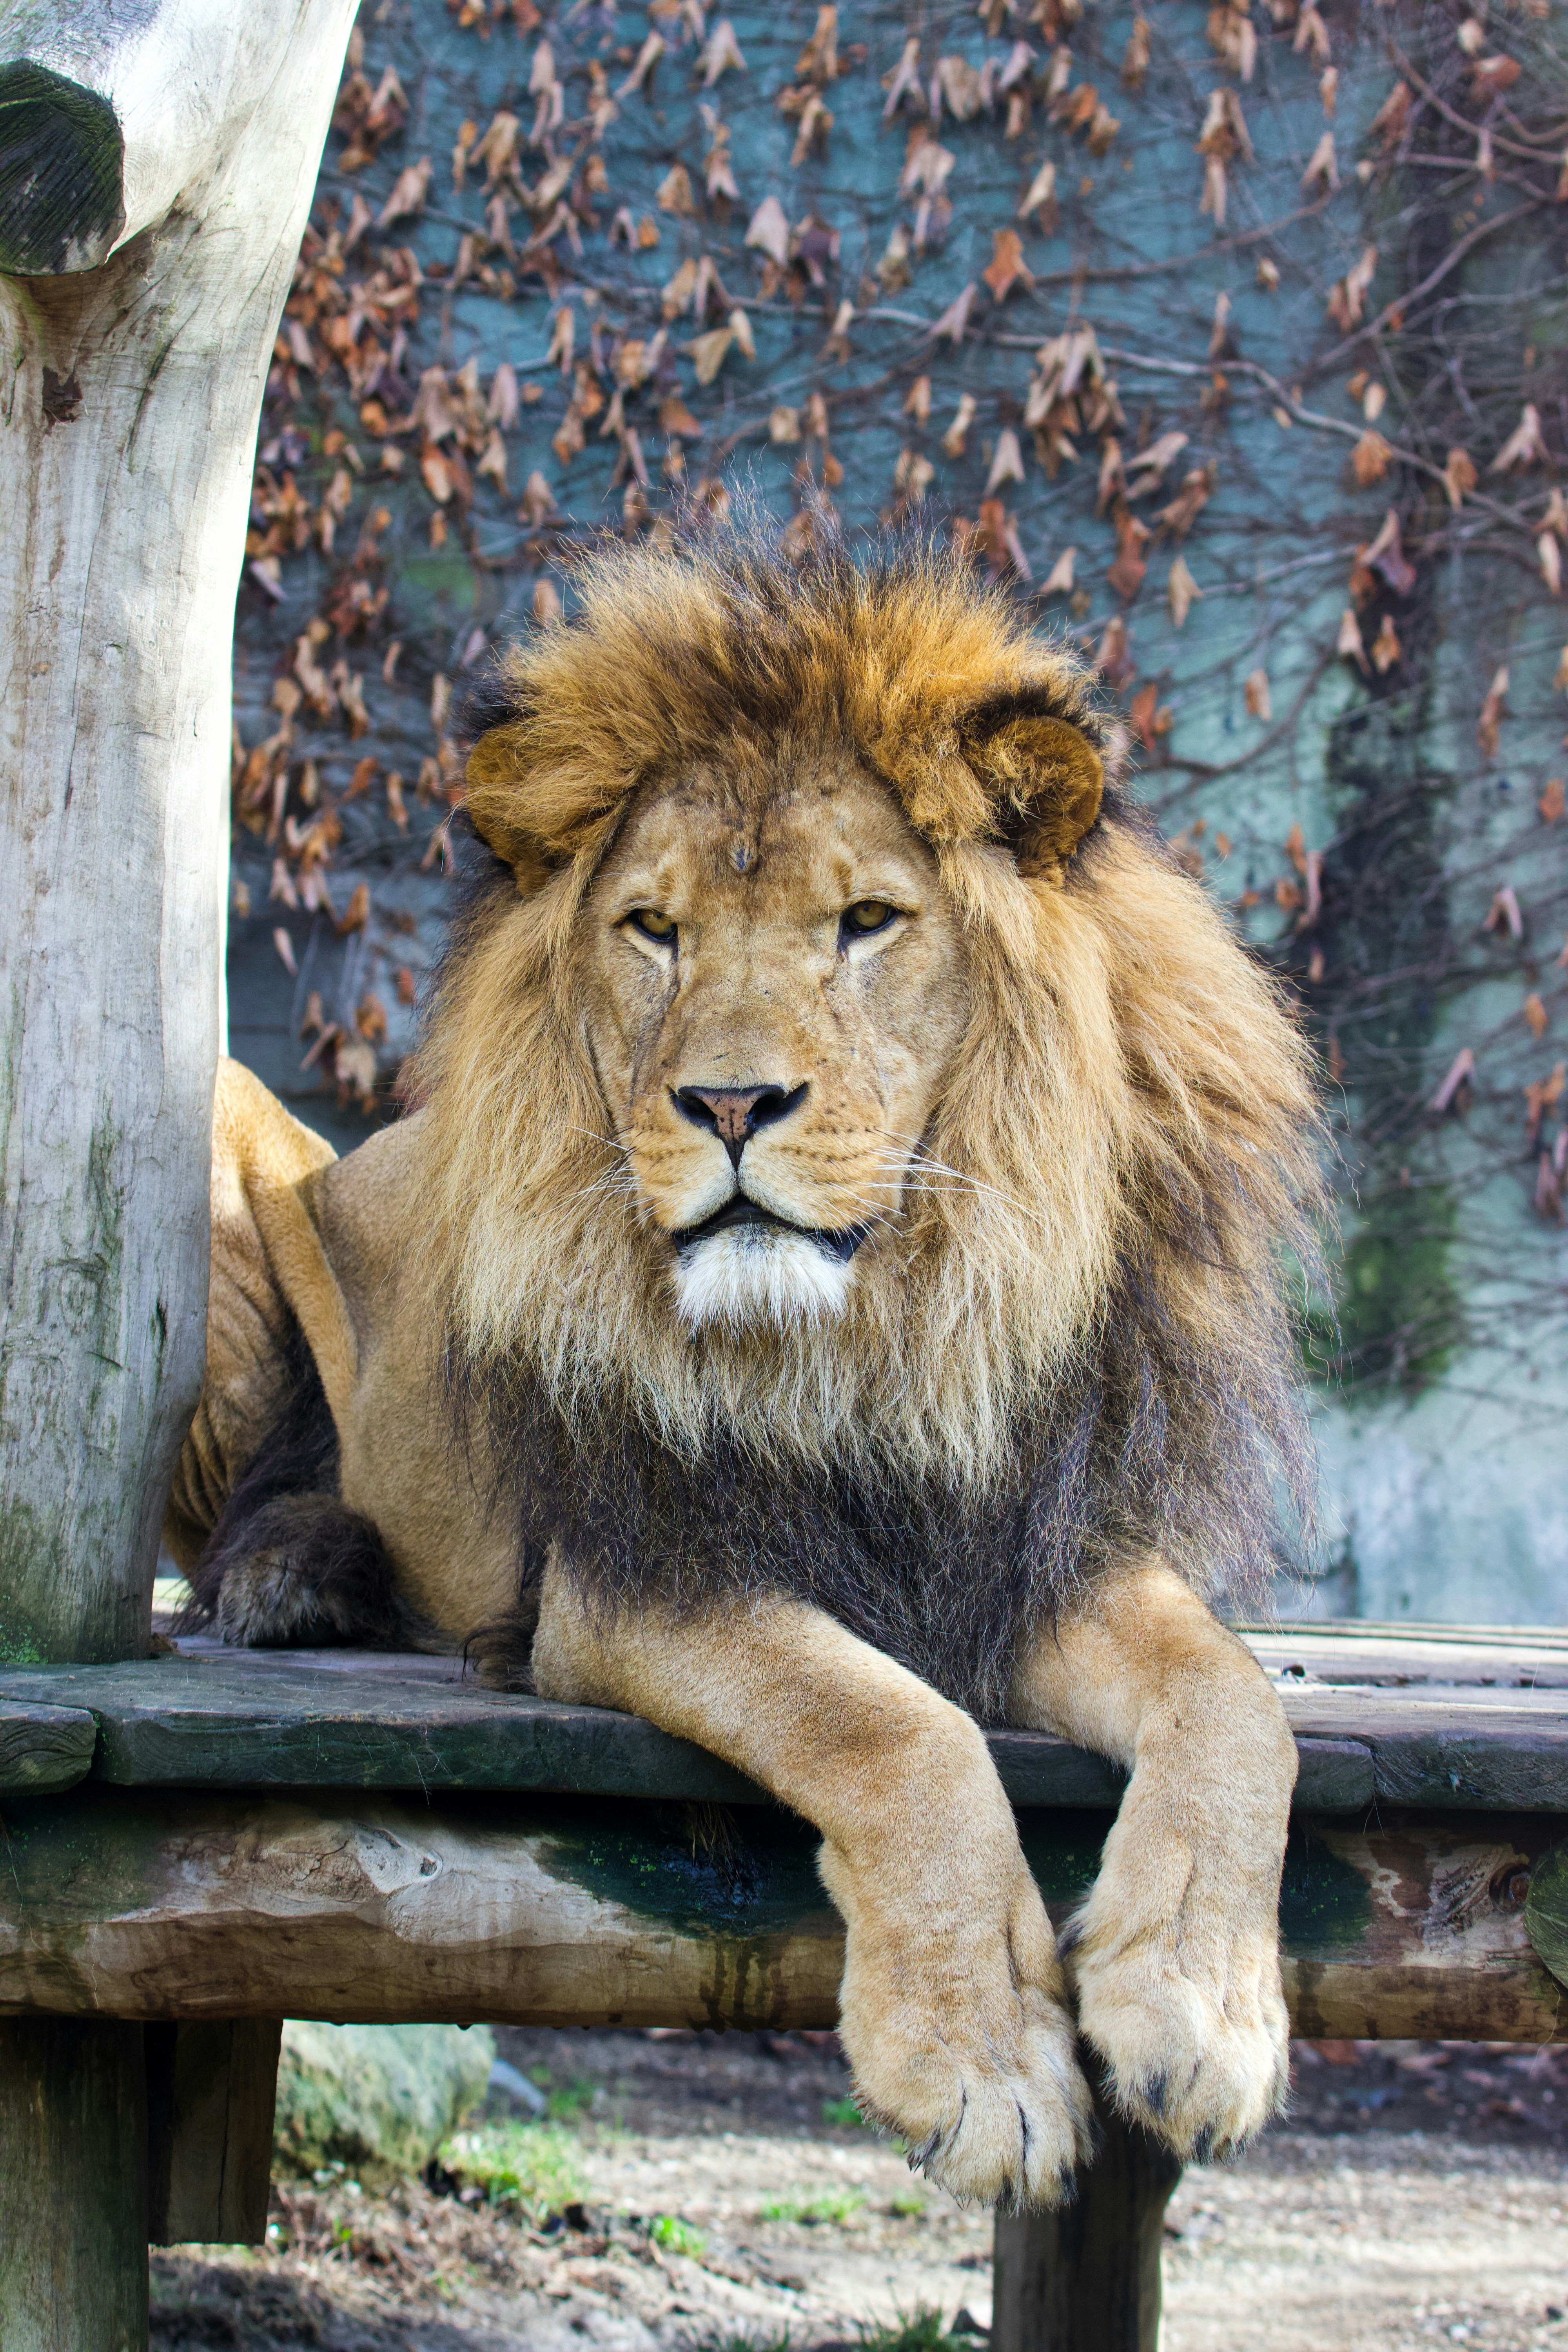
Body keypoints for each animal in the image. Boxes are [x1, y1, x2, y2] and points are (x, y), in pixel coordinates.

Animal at [168, 533, 1322, 2210]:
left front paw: (1198, 2011)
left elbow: (1232, 1699)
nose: (726, 1102)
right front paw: (981, 2062)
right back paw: (290, 1576)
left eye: (867, 921)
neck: (870, 1343)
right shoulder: (640, 1575)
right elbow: (892, 1729)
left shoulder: (1019, 1544)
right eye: (653, 930)